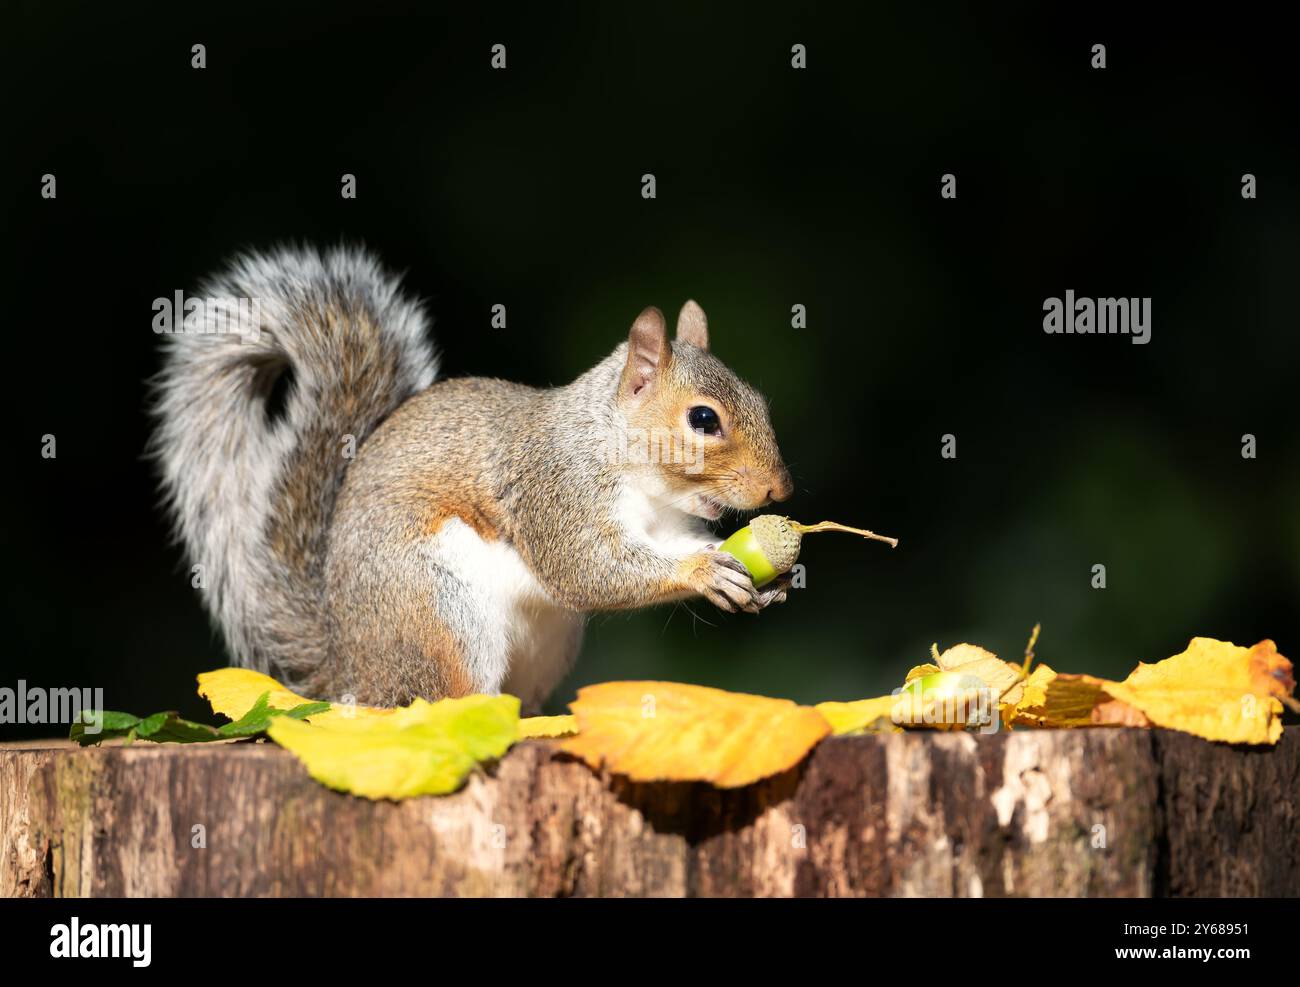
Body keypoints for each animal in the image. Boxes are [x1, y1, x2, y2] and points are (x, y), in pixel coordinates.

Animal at [152, 245, 794, 711]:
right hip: (439, 610)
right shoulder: (556, 489)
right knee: (440, 700)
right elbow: (588, 567)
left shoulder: (664, 523)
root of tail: (352, 671)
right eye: (703, 419)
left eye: (761, 401)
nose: (779, 490)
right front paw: (702, 572)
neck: (615, 451)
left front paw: (762, 576)